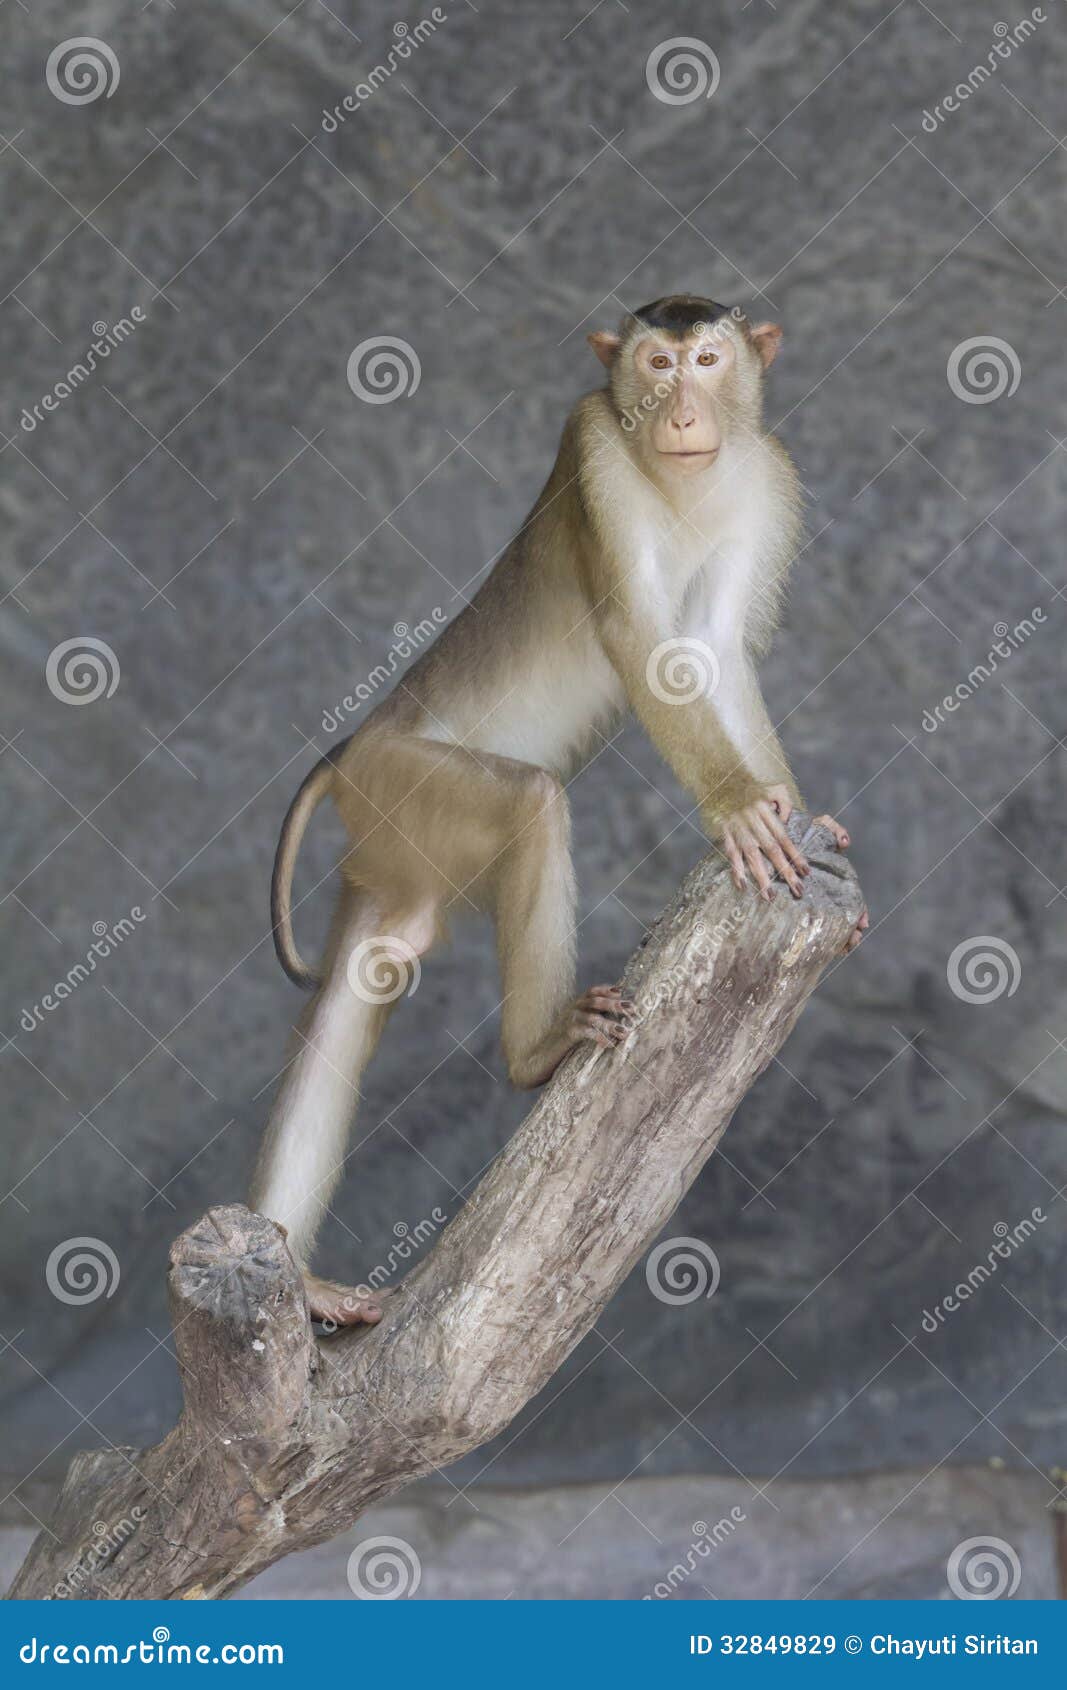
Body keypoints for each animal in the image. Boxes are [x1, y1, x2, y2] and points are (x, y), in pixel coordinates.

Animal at [248, 293, 866, 1327]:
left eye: (706, 361)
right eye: (656, 364)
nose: (682, 413)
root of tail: (350, 753)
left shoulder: (765, 476)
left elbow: (709, 645)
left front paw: (783, 804)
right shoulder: (595, 452)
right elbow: (641, 638)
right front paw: (739, 811)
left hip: (398, 846)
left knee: (359, 983)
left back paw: (298, 1277)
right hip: (405, 779)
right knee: (532, 802)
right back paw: (535, 1055)